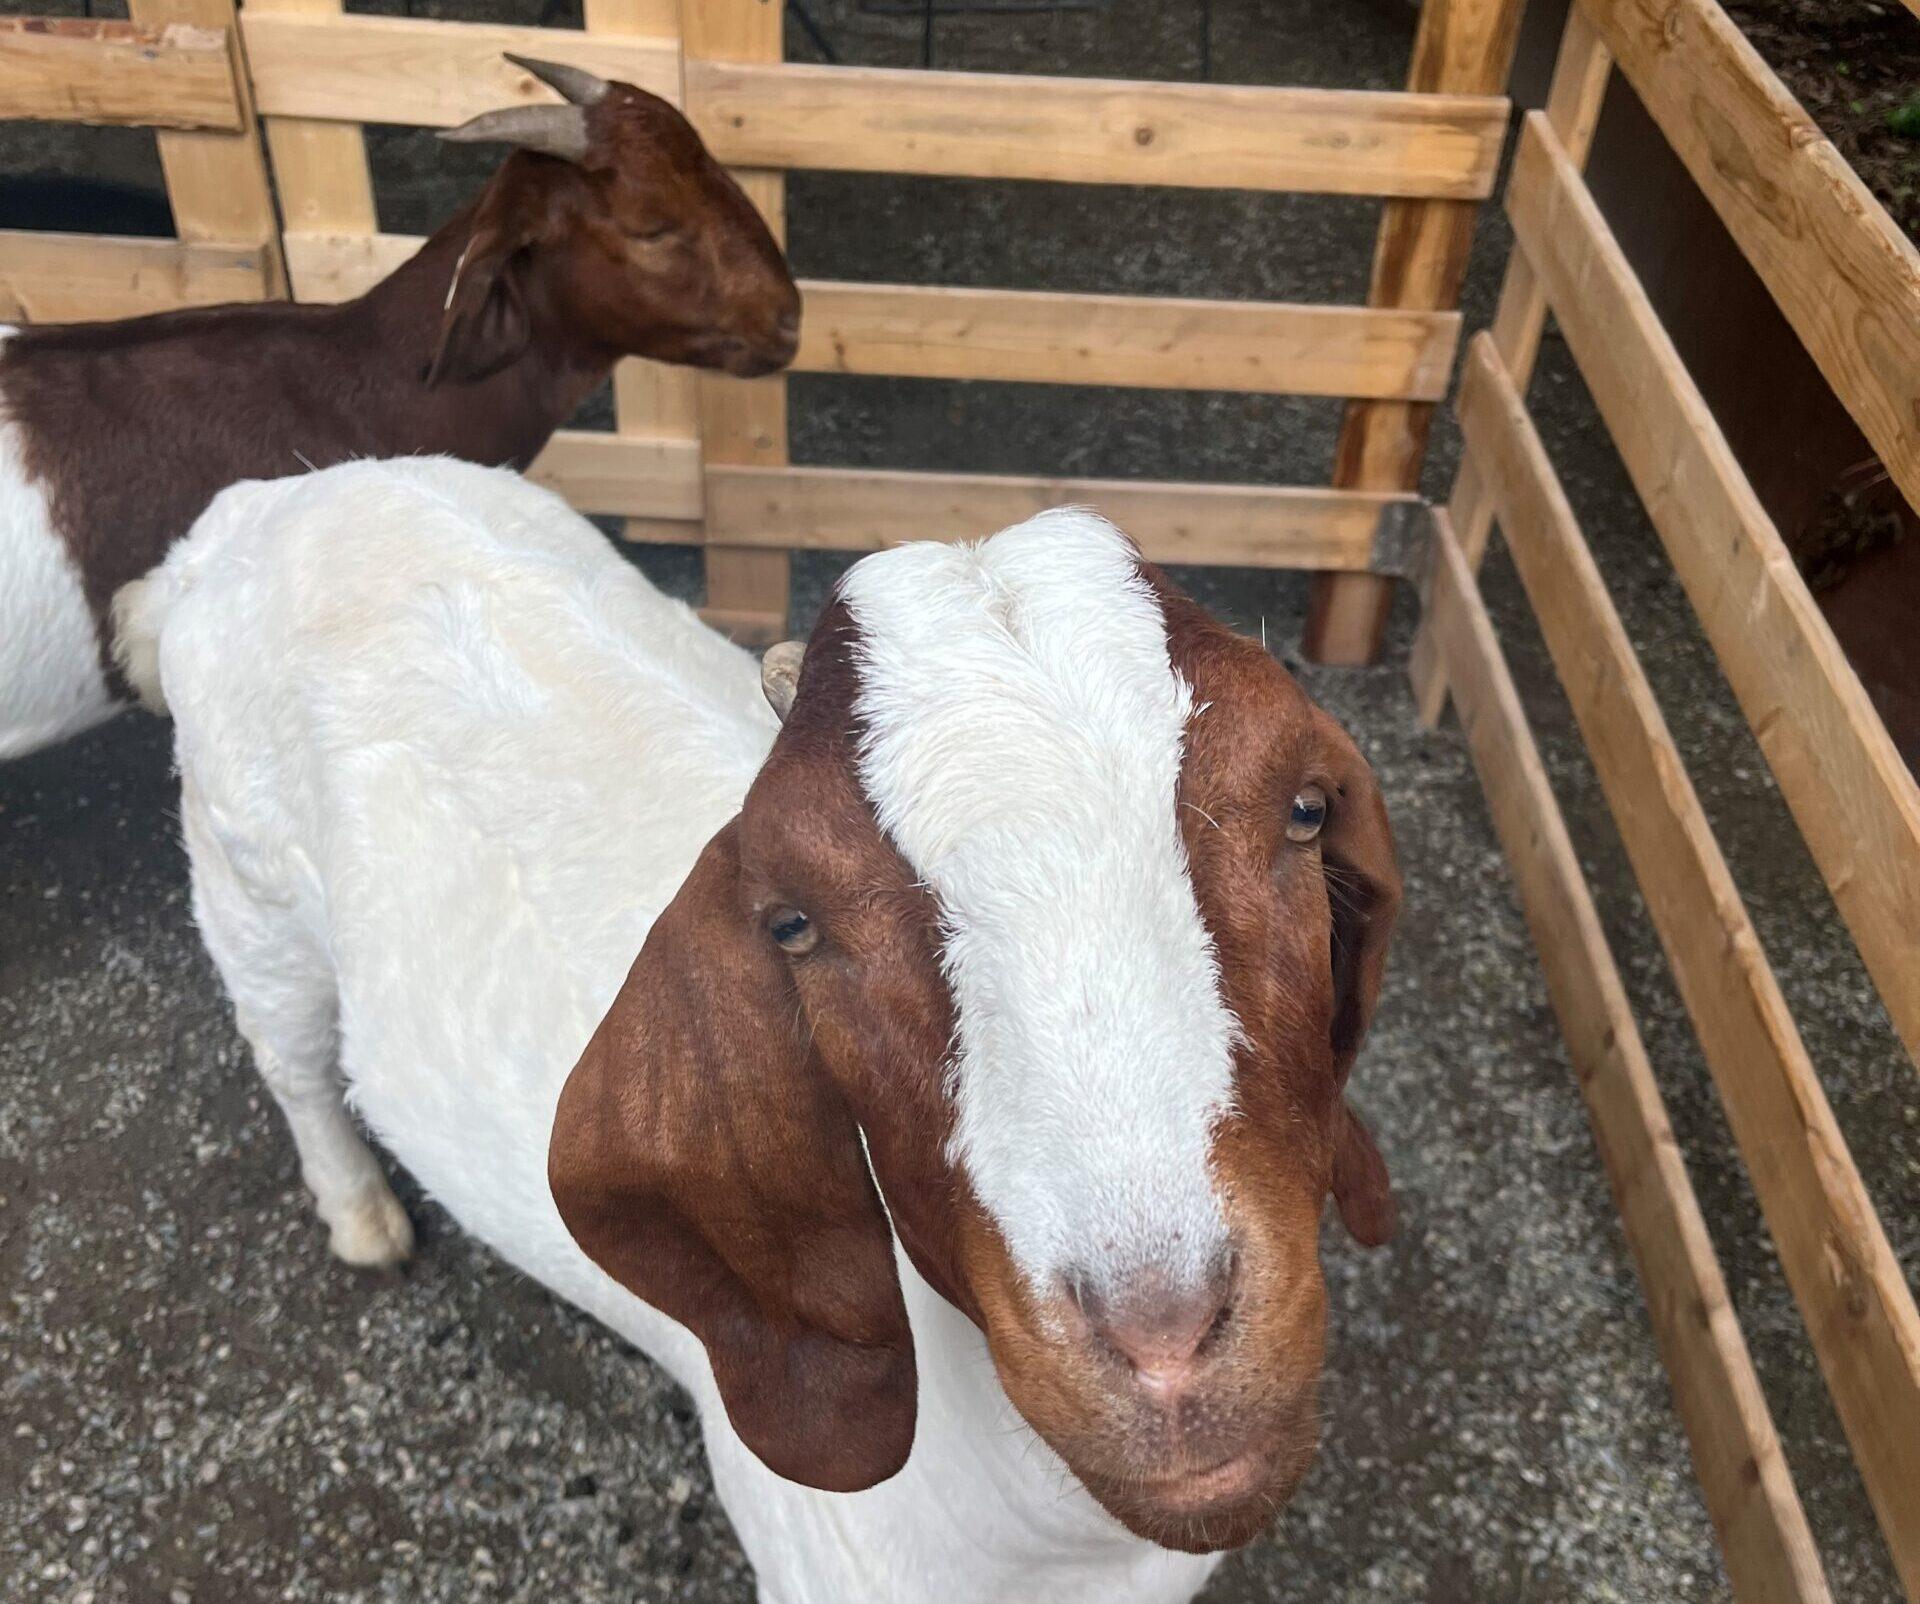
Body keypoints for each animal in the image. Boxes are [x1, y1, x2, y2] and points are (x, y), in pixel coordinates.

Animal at [117, 459, 1401, 1604]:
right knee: (290, 1057)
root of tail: (246, 516)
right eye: (794, 920)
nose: (1166, 1336)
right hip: (249, 889)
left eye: (1303, 808)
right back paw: (362, 1215)